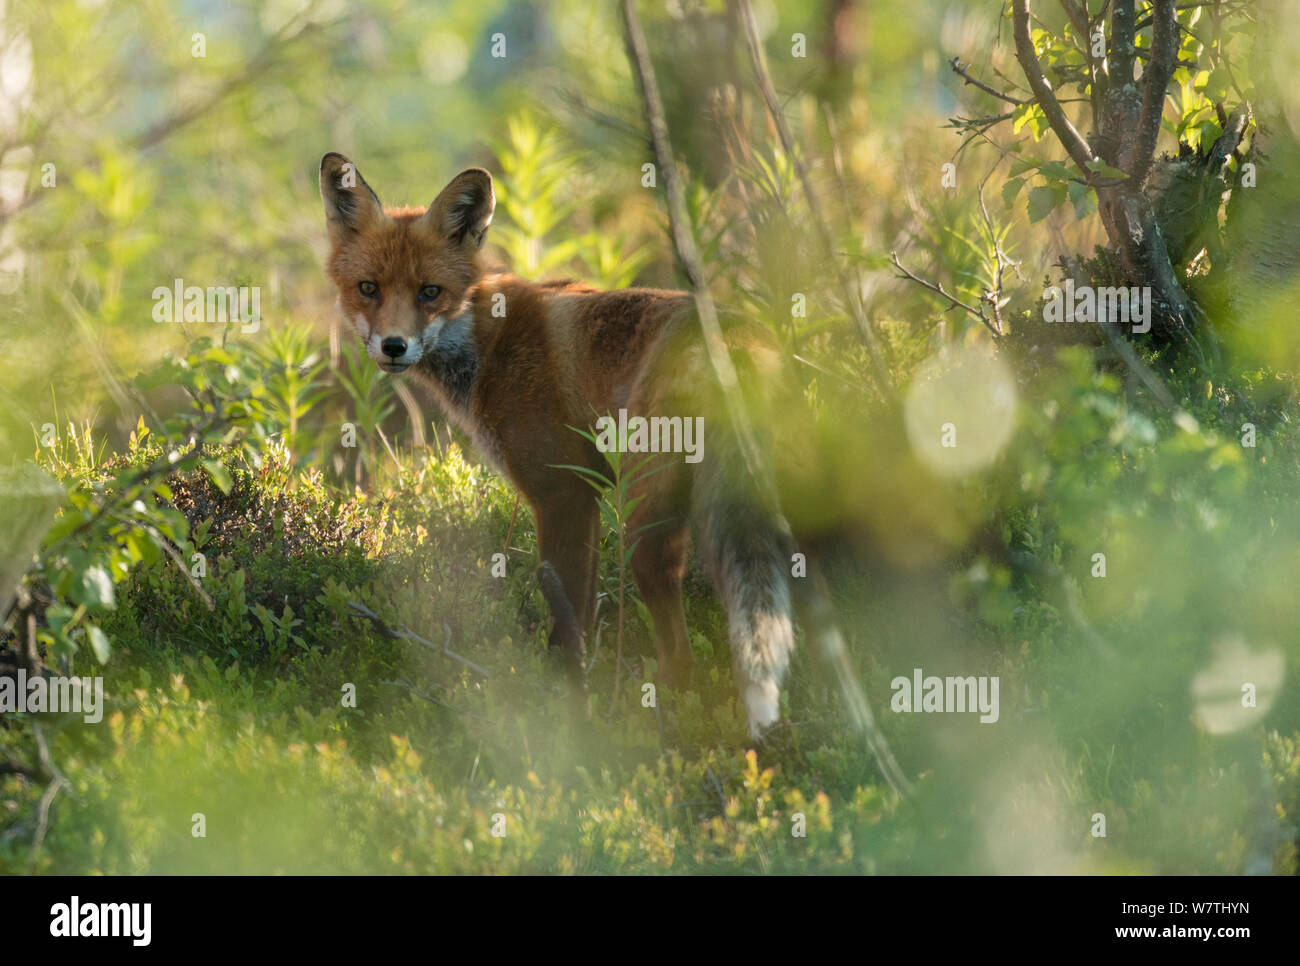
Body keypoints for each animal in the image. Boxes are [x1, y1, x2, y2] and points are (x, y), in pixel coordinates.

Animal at [318, 152, 817, 738]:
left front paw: (564, 705)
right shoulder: (587, 496)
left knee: (679, 646)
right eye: (369, 288)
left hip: (644, 523)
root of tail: (738, 343)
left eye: (429, 292)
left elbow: (567, 620)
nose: (394, 346)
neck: (488, 342)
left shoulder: (564, 493)